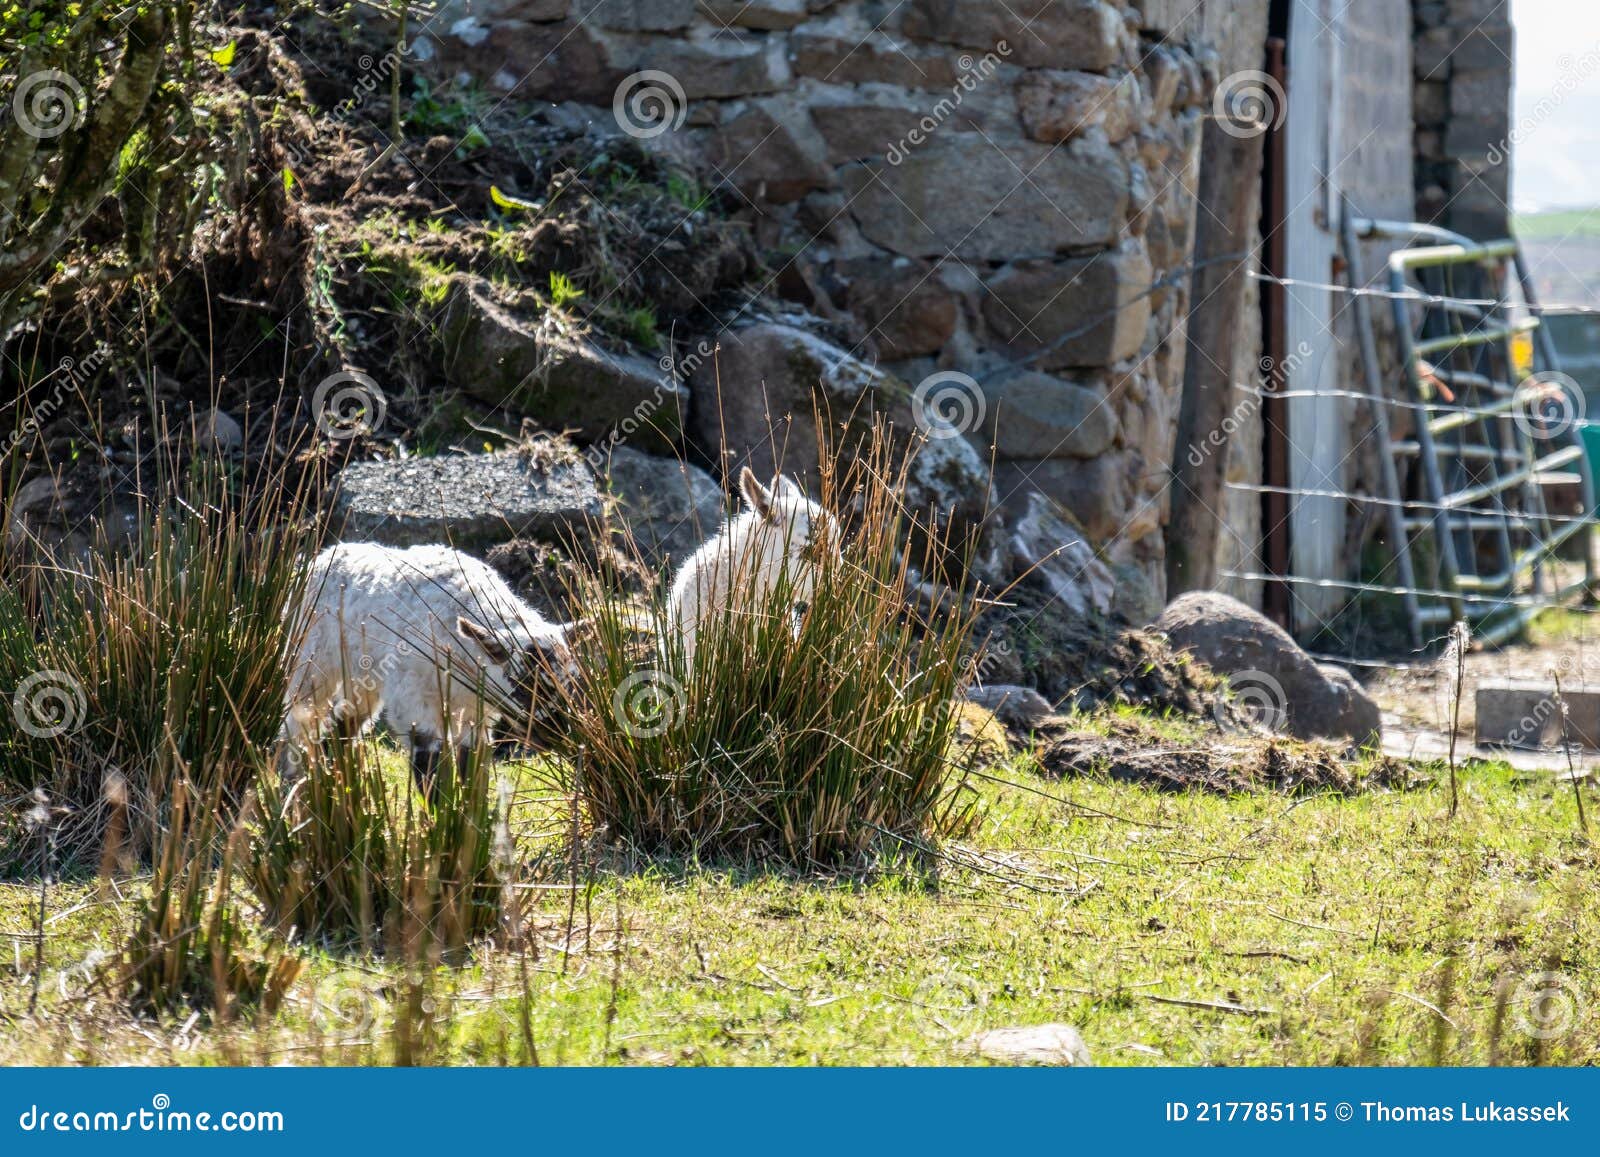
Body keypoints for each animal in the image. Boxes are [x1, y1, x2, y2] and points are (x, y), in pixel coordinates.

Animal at [280, 542, 582, 795]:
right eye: (522, 684)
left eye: (571, 683)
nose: (556, 734)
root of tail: (324, 554)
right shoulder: (413, 699)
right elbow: (429, 763)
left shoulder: (475, 709)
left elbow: (472, 763)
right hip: (311, 657)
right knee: (299, 718)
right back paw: (294, 781)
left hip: (361, 674)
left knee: (345, 721)